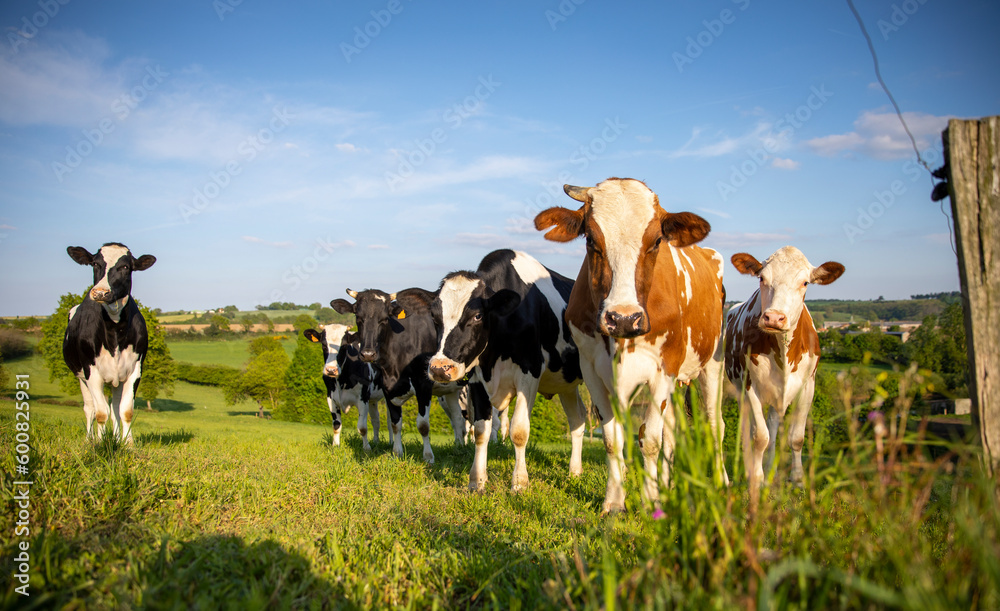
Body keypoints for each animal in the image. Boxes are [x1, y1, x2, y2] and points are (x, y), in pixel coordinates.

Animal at [62, 243, 156, 445]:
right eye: (95, 264)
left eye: (125, 267)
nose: (100, 292)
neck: (115, 330)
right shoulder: (91, 371)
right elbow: (100, 413)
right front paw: (99, 444)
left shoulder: (135, 370)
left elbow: (125, 411)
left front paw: (128, 444)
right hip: (81, 377)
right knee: (90, 408)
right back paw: (91, 439)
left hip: (116, 379)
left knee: (114, 409)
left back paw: (115, 437)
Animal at [331, 288, 471, 462]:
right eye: (358, 317)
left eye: (385, 319)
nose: (368, 354)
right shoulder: (387, 387)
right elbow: (395, 423)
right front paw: (397, 453)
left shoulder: (423, 385)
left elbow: (423, 425)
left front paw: (428, 457)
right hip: (451, 390)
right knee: (458, 418)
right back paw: (459, 448)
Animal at [426, 249, 587, 492]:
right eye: (435, 318)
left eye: (477, 316)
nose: (439, 368)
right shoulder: (477, 378)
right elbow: (481, 431)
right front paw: (477, 481)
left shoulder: (529, 373)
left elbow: (519, 431)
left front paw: (519, 483)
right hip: (566, 383)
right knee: (578, 420)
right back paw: (575, 473)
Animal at [534, 177, 728, 514]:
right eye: (590, 240)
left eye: (657, 241)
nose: (623, 318)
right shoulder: (592, 369)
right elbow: (613, 439)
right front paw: (615, 501)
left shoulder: (663, 368)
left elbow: (649, 439)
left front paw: (650, 503)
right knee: (673, 431)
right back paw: (668, 485)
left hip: (712, 364)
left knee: (715, 423)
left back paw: (720, 484)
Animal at [724, 246, 844, 501]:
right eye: (762, 278)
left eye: (805, 282)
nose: (774, 317)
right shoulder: (750, 386)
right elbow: (760, 437)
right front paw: (757, 480)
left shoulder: (808, 385)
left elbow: (796, 437)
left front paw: (797, 480)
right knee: (749, 430)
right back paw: (753, 471)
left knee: (773, 423)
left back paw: (771, 470)